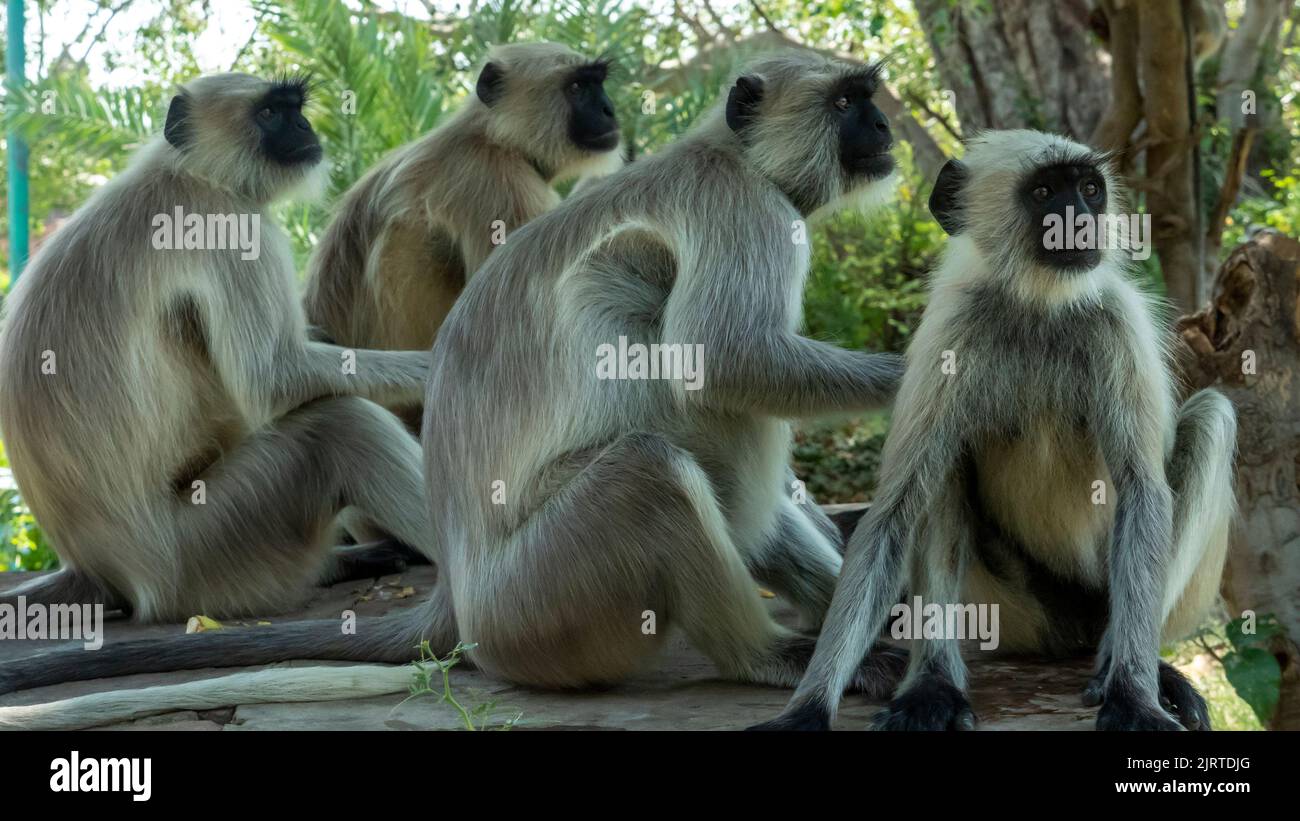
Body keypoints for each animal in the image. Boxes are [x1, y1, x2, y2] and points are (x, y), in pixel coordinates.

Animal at [0, 73, 441, 626]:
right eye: (270, 114)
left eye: (294, 109)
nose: (304, 127)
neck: (191, 172)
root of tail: (105, 574)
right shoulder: (229, 221)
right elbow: (272, 380)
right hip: (211, 550)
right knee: (343, 427)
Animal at [750, 130, 1237, 732]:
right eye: (1046, 192)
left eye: (1090, 190)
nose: (1081, 222)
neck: (1036, 306)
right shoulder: (949, 331)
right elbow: (894, 510)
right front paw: (810, 705)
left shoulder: (1116, 322)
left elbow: (1143, 490)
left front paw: (1135, 697)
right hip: (1014, 611)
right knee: (944, 469)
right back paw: (933, 680)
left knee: (1212, 417)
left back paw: (1129, 668)